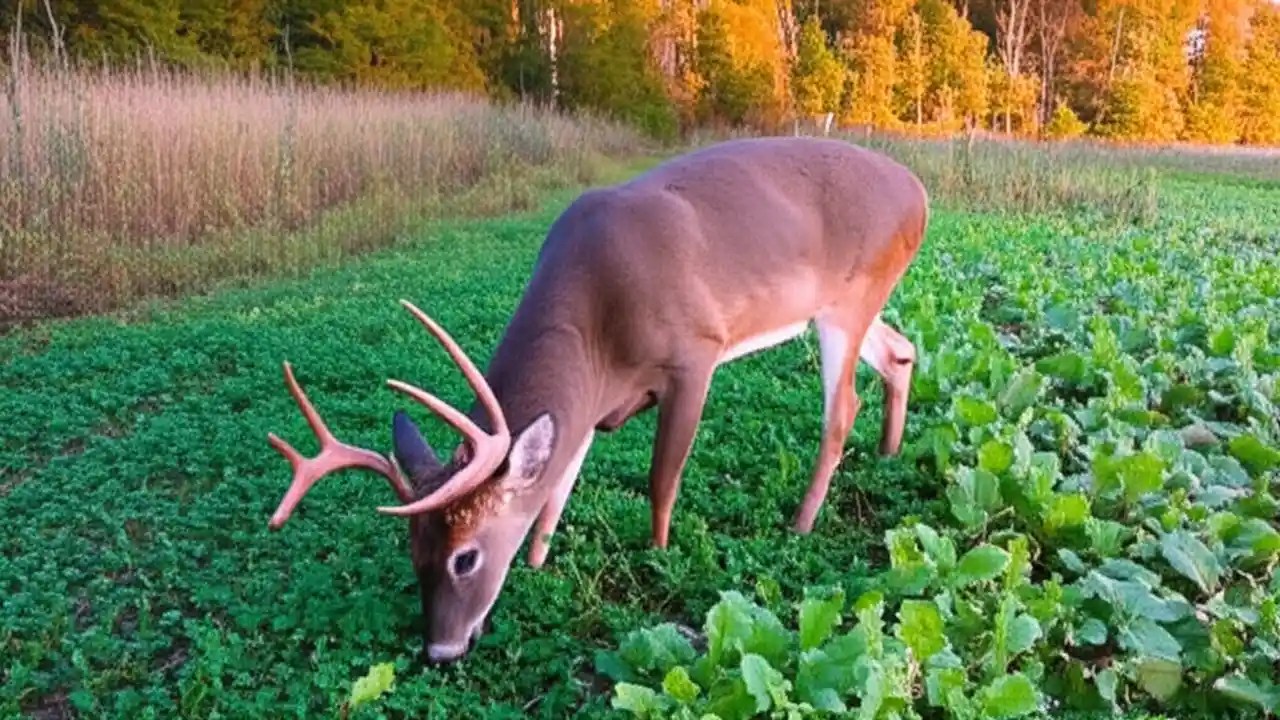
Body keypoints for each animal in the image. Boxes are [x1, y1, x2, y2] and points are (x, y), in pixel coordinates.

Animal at [264, 136, 928, 665]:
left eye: (465, 559)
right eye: (414, 550)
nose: (440, 651)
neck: (597, 324)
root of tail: (919, 193)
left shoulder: (695, 353)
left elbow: (662, 476)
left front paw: (657, 558)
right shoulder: (588, 403)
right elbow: (557, 487)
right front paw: (537, 563)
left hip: (850, 296)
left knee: (842, 409)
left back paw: (801, 522)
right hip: (849, 306)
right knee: (902, 351)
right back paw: (889, 454)